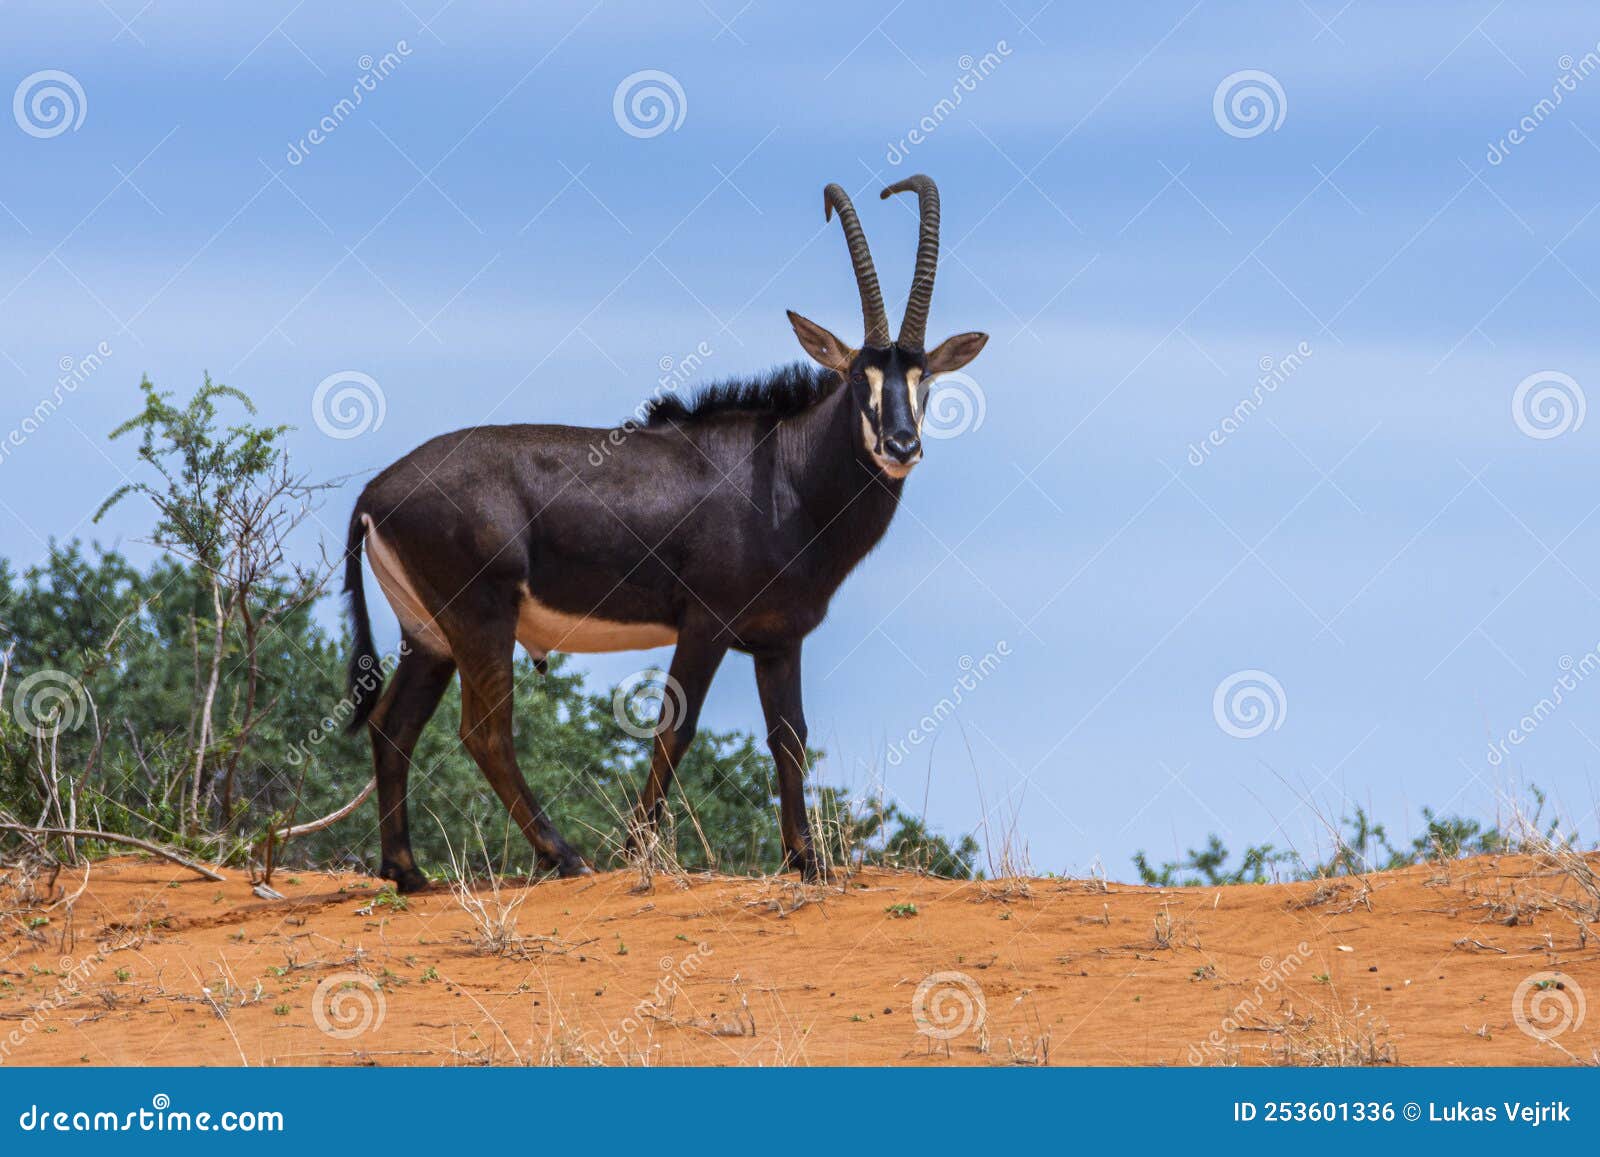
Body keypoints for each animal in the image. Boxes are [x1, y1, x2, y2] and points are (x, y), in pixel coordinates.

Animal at [342, 174, 987, 890]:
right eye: (856, 376)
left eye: (924, 376)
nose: (901, 445)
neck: (785, 473)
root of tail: (375, 494)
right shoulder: (705, 625)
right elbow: (675, 729)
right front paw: (636, 852)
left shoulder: (778, 640)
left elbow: (789, 736)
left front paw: (806, 860)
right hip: (482, 618)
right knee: (486, 730)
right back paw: (563, 856)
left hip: (428, 637)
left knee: (393, 726)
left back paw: (405, 870)